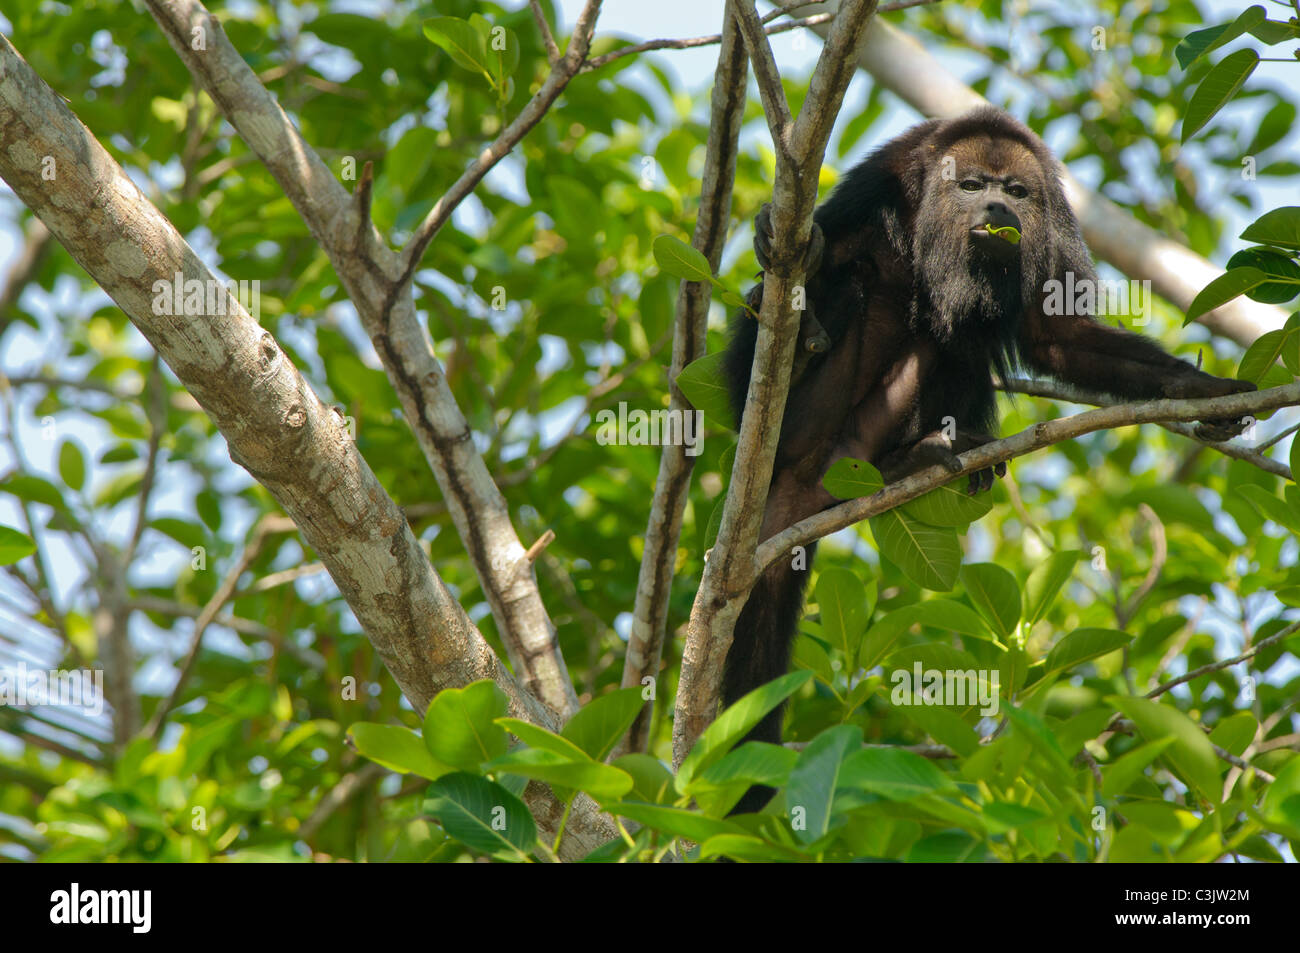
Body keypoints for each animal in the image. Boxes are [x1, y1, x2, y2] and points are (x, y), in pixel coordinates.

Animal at [720, 107, 1254, 806]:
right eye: (972, 185)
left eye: (1017, 192)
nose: (997, 206)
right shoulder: (879, 181)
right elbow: (800, 271)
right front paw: (787, 260)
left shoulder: (1057, 220)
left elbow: (1058, 336)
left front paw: (1203, 390)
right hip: (799, 428)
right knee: (851, 285)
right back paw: (807, 338)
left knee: (955, 333)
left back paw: (916, 460)